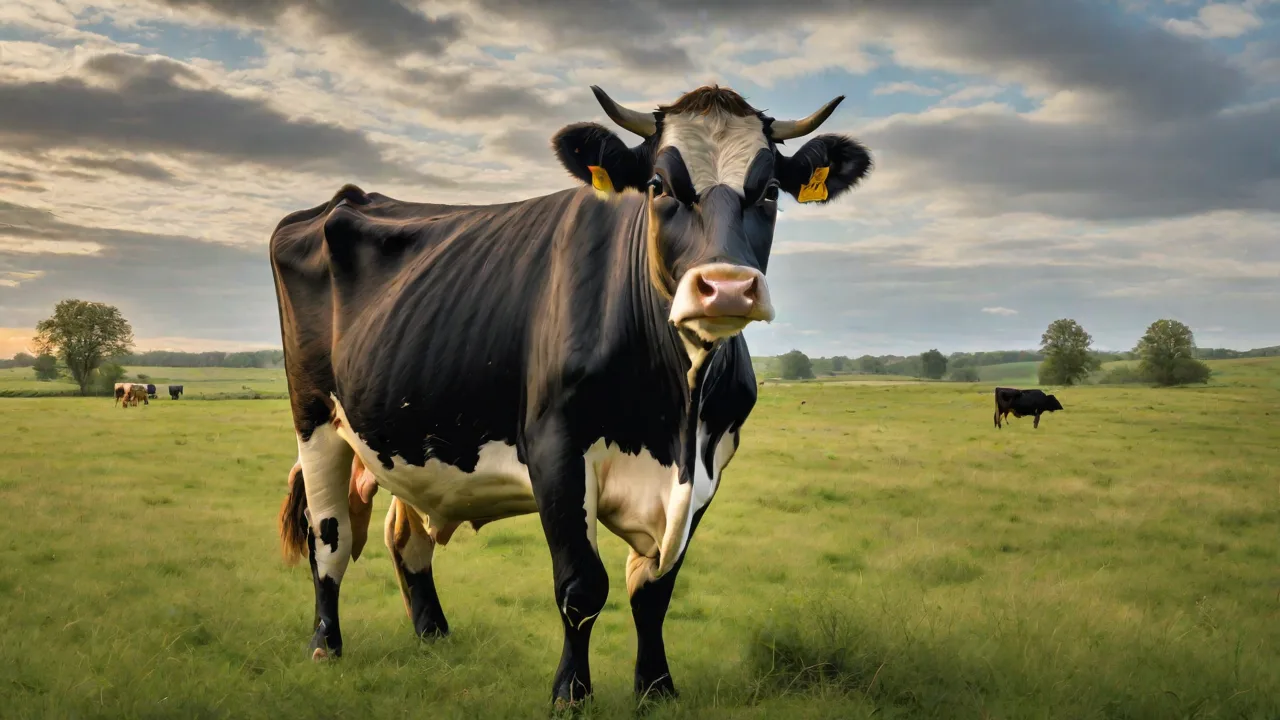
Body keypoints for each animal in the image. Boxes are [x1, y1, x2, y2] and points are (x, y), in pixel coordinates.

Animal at [270, 83, 872, 707]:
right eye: (658, 186)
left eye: (771, 190)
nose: (726, 288)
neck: (678, 421)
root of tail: (343, 199)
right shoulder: (555, 447)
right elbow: (583, 585)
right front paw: (571, 693)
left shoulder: (709, 464)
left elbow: (655, 589)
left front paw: (656, 687)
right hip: (315, 420)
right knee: (329, 537)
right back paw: (326, 644)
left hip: (408, 432)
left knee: (405, 536)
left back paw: (434, 635)